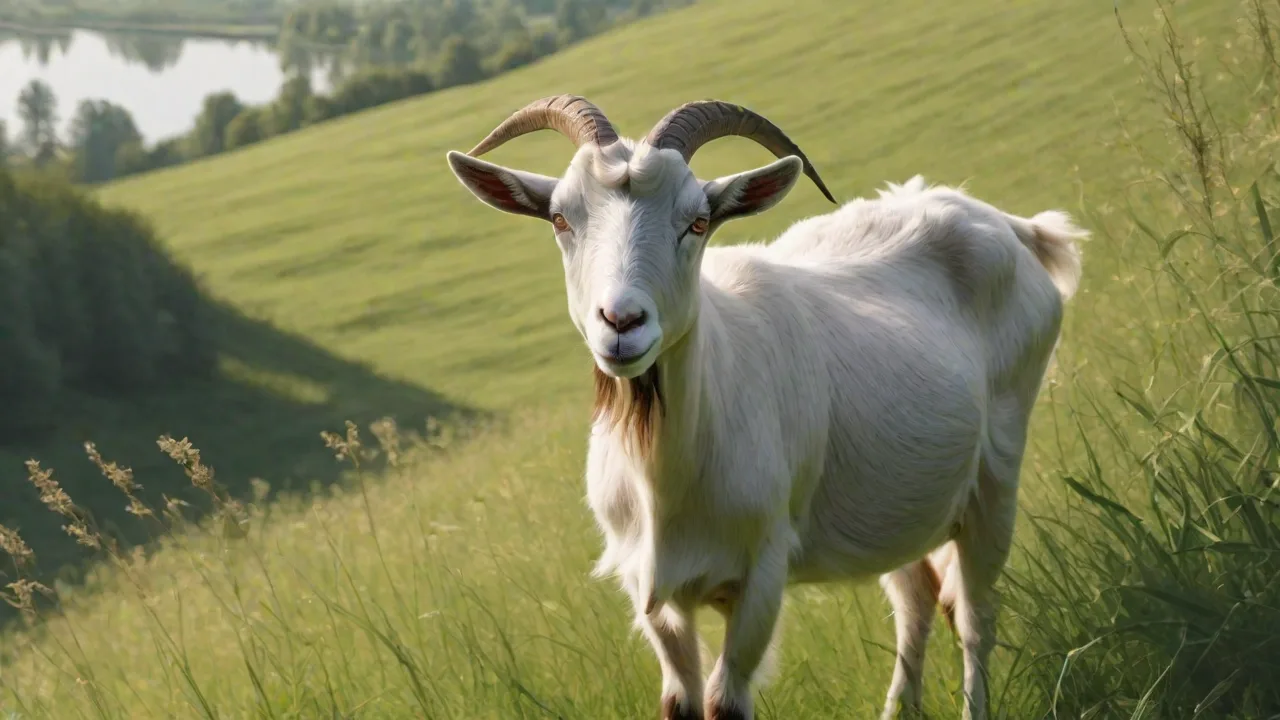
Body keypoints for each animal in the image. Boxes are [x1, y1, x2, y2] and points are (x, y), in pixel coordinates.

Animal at [445, 94, 1085, 720]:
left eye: (698, 221)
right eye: (560, 218)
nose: (622, 322)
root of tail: (1010, 226)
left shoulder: (762, 571)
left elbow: (725, 701)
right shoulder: (648, 590)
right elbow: (679, 700)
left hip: (997, 474)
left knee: (976, 617)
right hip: (899, 502)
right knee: (917, 600)